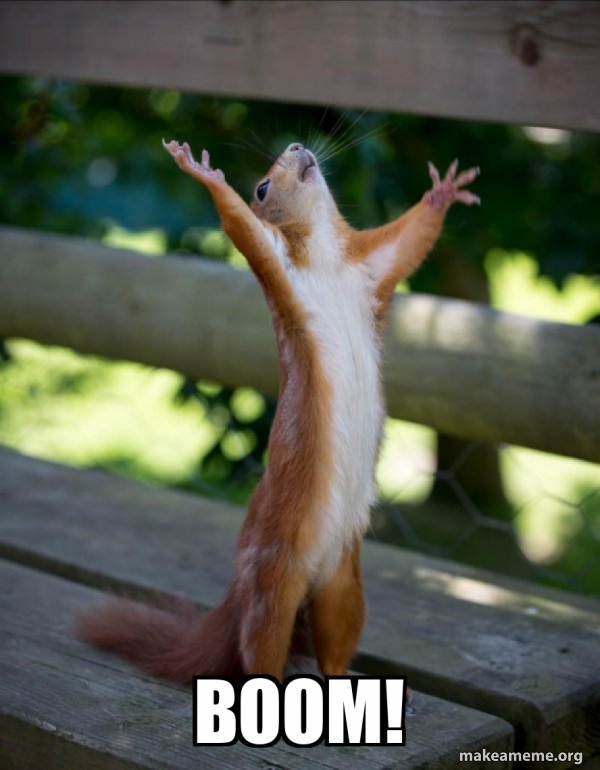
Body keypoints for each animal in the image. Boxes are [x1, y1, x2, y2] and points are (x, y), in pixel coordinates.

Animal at [77, 138, 479, 684]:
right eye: (262, 187)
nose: (296, 146)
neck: (326, 258)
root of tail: (239, 592)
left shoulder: (372, 266)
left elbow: (410, 239)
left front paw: (442, 193)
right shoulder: (277, 264)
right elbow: (241, 227)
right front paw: (204, 173)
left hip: (344, 584)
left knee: (335, 643)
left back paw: (347, 677)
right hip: (274, 579)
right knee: (259, 648)